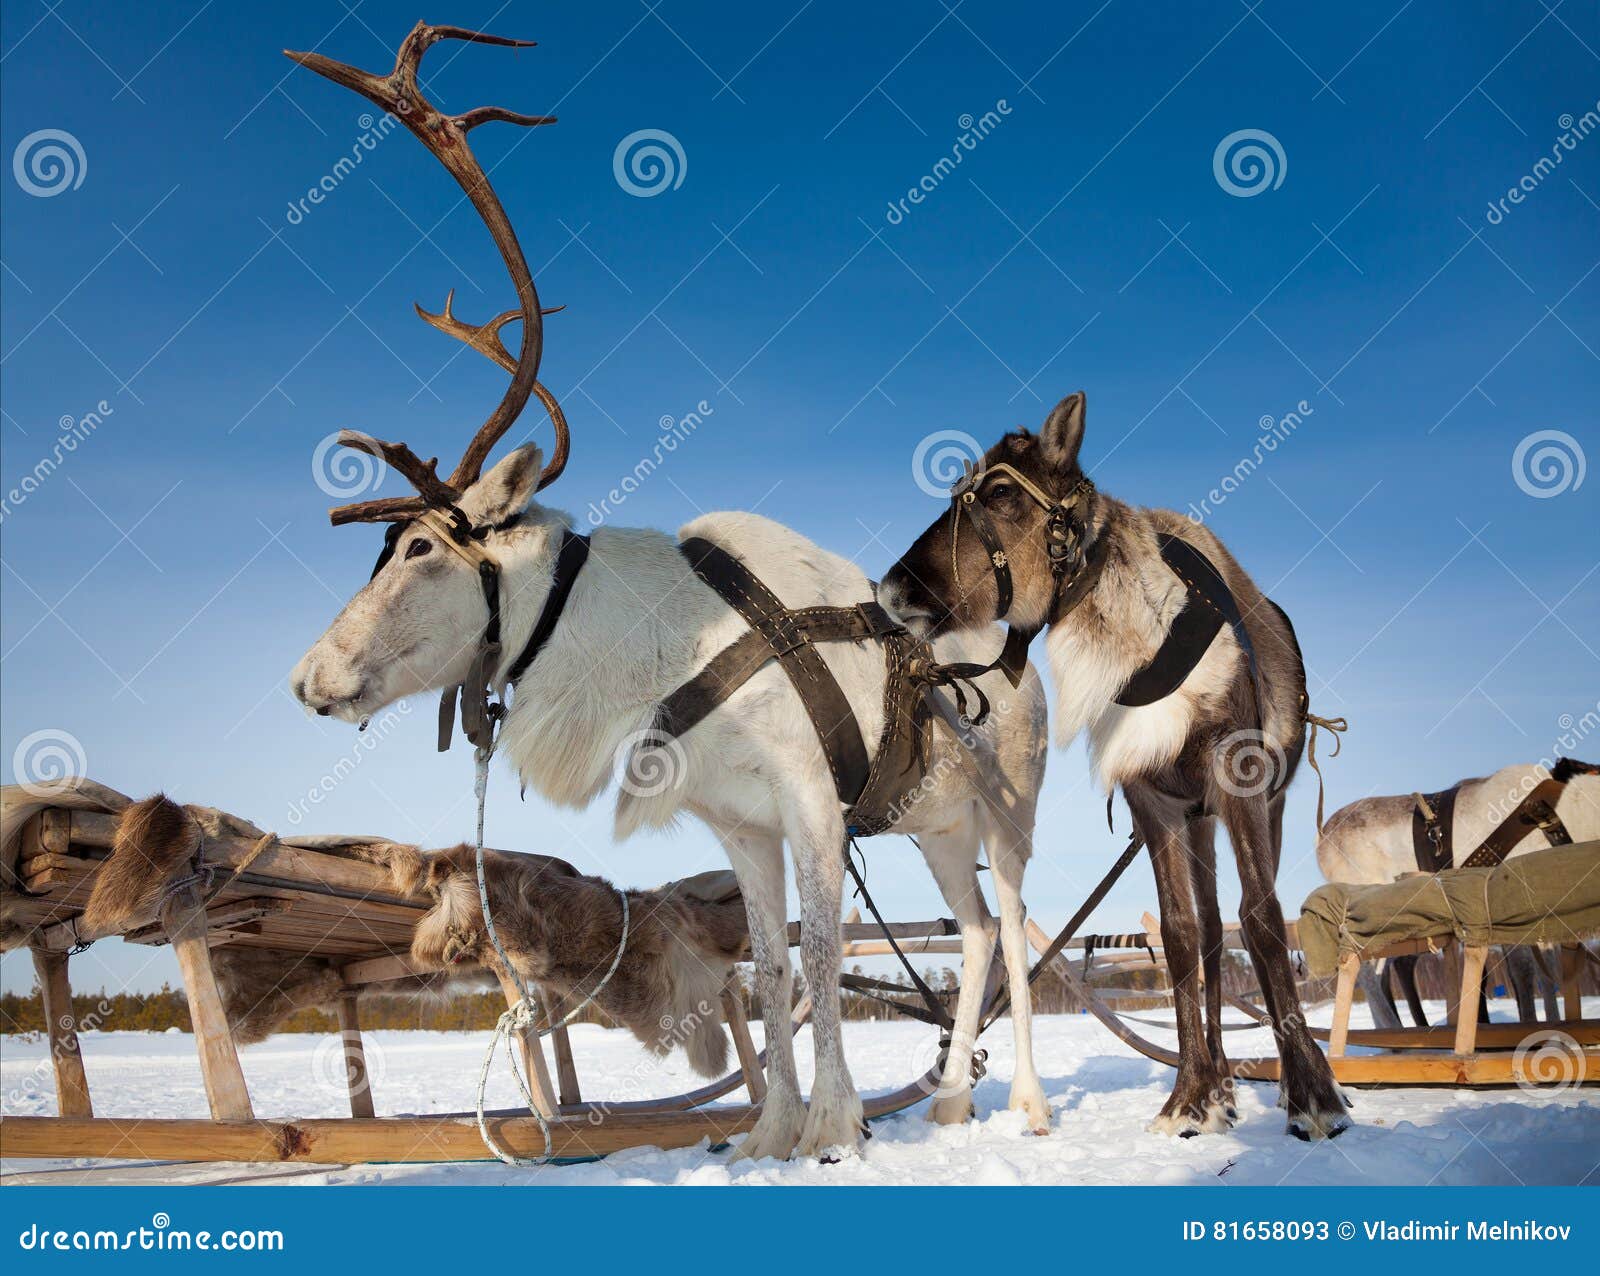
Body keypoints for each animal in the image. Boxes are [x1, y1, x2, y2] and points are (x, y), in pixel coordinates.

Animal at [284, 22, 1052, 1162]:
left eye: (419, 545)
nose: (308, 678)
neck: (646, 651)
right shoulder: (738, 821)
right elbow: (768, 969)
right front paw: (766, 1131)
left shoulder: (811, 801)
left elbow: (822, 958)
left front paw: (835, 1125)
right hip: (935, 824)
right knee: (979, 928)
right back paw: (955, 1097)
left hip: (1008, 811)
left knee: (1017, 923)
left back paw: (1031, 1102)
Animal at [880, 392, 1351, 1140]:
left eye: (1002, 493)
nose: (894, 590)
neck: (1139, 639)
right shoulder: (1149, 795)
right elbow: (1182, 937)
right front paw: (1190, 1096)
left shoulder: (1238, 775)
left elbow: (1264, 921)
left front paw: (1313, 1094)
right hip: (1195, 817)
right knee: (1210, 932)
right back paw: (1223, 1086)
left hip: (1260, 803)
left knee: (1247, 916)